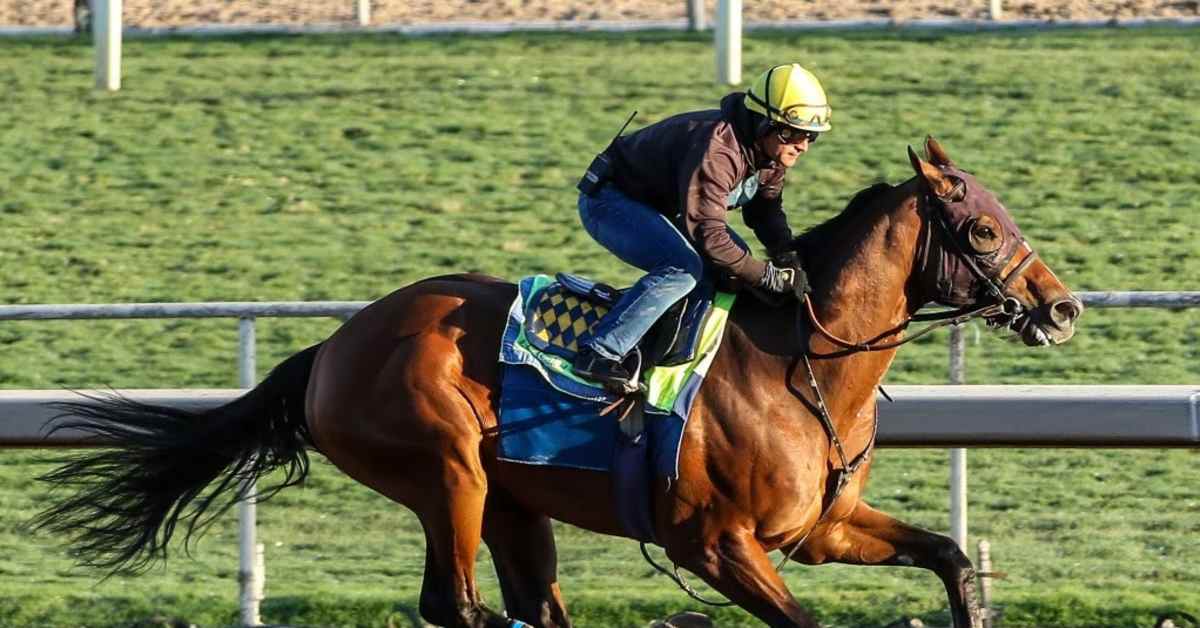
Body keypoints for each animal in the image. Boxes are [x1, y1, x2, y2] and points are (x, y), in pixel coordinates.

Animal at [34, 138, 1082, 628]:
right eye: (981, 229)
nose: (1063, 307)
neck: (798, 364)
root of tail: (331, 348)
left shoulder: (817, 529)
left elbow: (950, 556)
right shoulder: (716, 545)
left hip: (512, 500)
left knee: (530, 602)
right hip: (447, 471)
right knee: (455, 604)